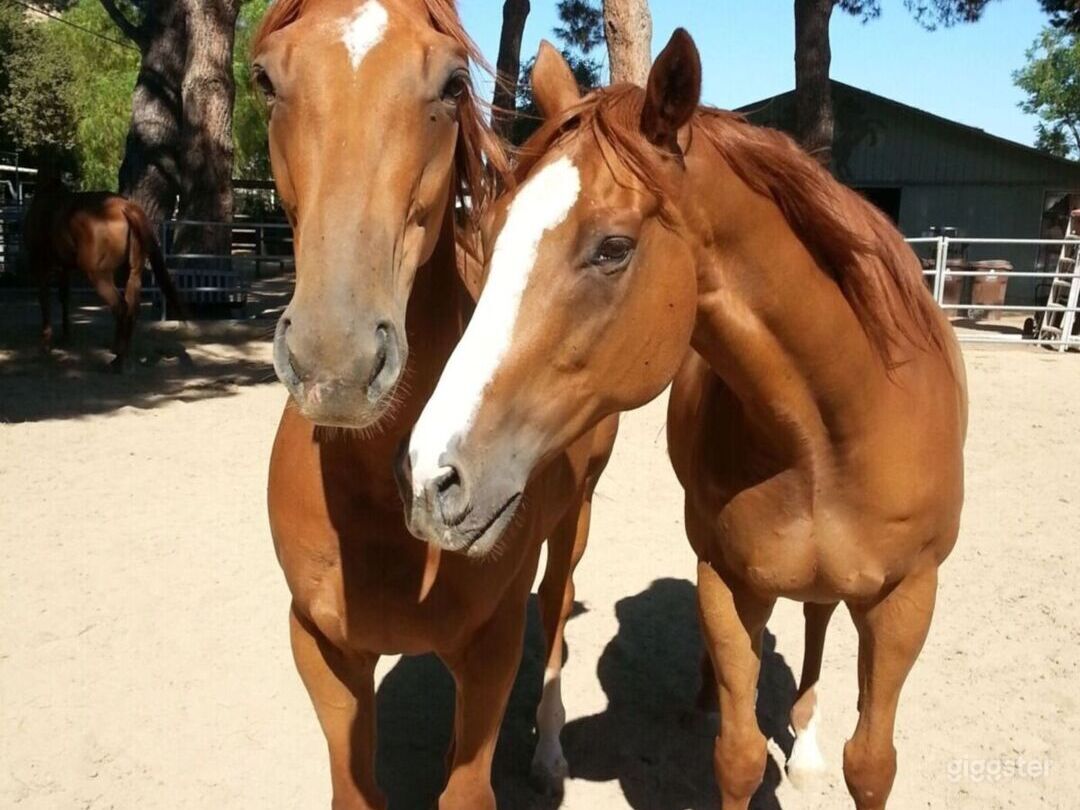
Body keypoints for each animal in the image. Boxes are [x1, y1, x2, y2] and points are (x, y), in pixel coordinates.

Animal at [23, 179, 184, 369]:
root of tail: (126, 207)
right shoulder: (64, 269)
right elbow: (64, 298)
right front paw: (66, 336)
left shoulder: (40, 267)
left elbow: (44, 300)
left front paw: (46, 344)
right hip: (133, 273)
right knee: (132, 308)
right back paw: (123, 353)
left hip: (99, 275)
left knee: (120, 306)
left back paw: (117, 362)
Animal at [251, 1, 617, 806]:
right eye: (263, 78)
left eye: (452, 85)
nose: (336, 362)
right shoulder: (322, 649)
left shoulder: (491, 647)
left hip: (574, 520)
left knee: (557, 609)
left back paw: (549, 753)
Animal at [401, 31, 968, 810]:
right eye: (488, 234)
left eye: (612, 248)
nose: (432, 477)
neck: (832, 431)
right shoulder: (728, 582)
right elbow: (738, 755)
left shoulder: (908, 598)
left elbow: (872, 764)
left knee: (818, 622)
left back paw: (806, 746)